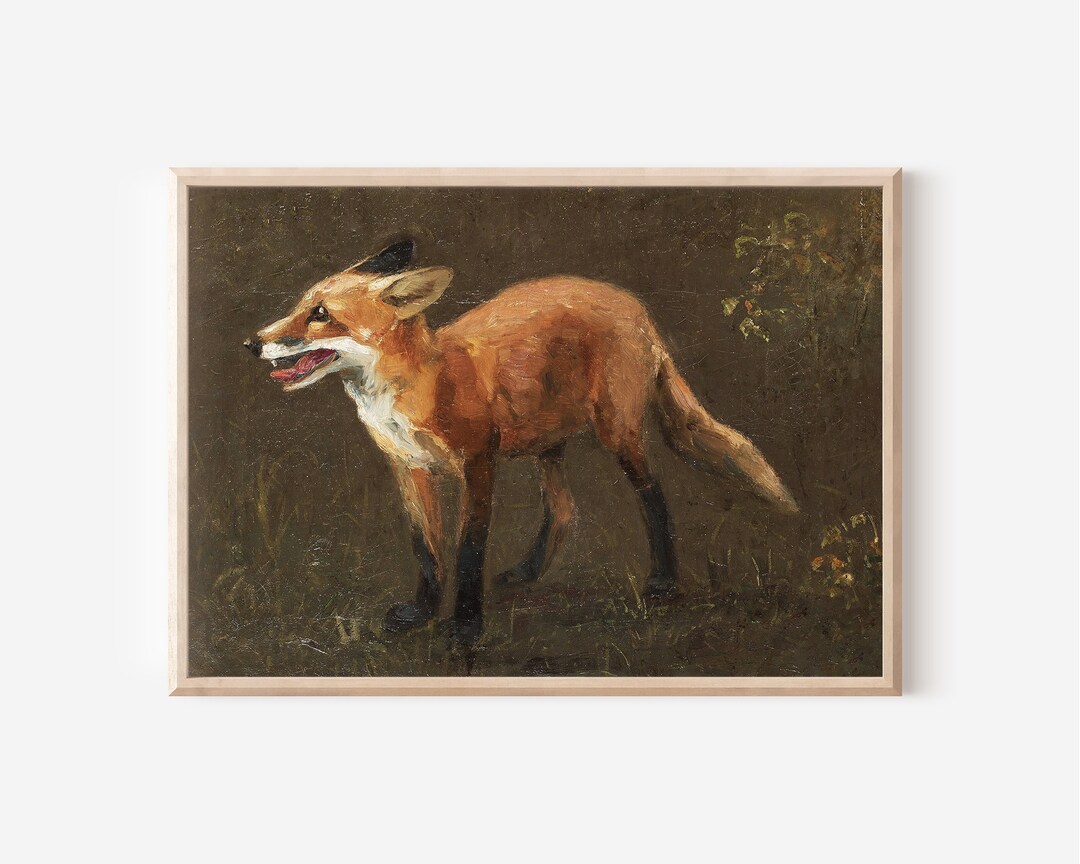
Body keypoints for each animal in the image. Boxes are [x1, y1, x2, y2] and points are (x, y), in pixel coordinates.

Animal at [245, 239, 798, 645]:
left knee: (653, 494)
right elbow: (426, 551)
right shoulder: (410, 470)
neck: (418, 386)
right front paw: (422, 612)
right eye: (300, 306)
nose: (251, 343)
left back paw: (662, 583)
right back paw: (529, 572)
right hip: (544, 443)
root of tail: (633, 305)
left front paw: (466, 627)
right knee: (565, 508)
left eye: (320, 314)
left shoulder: (477, 465)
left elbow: (468, 551)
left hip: (616, 434)